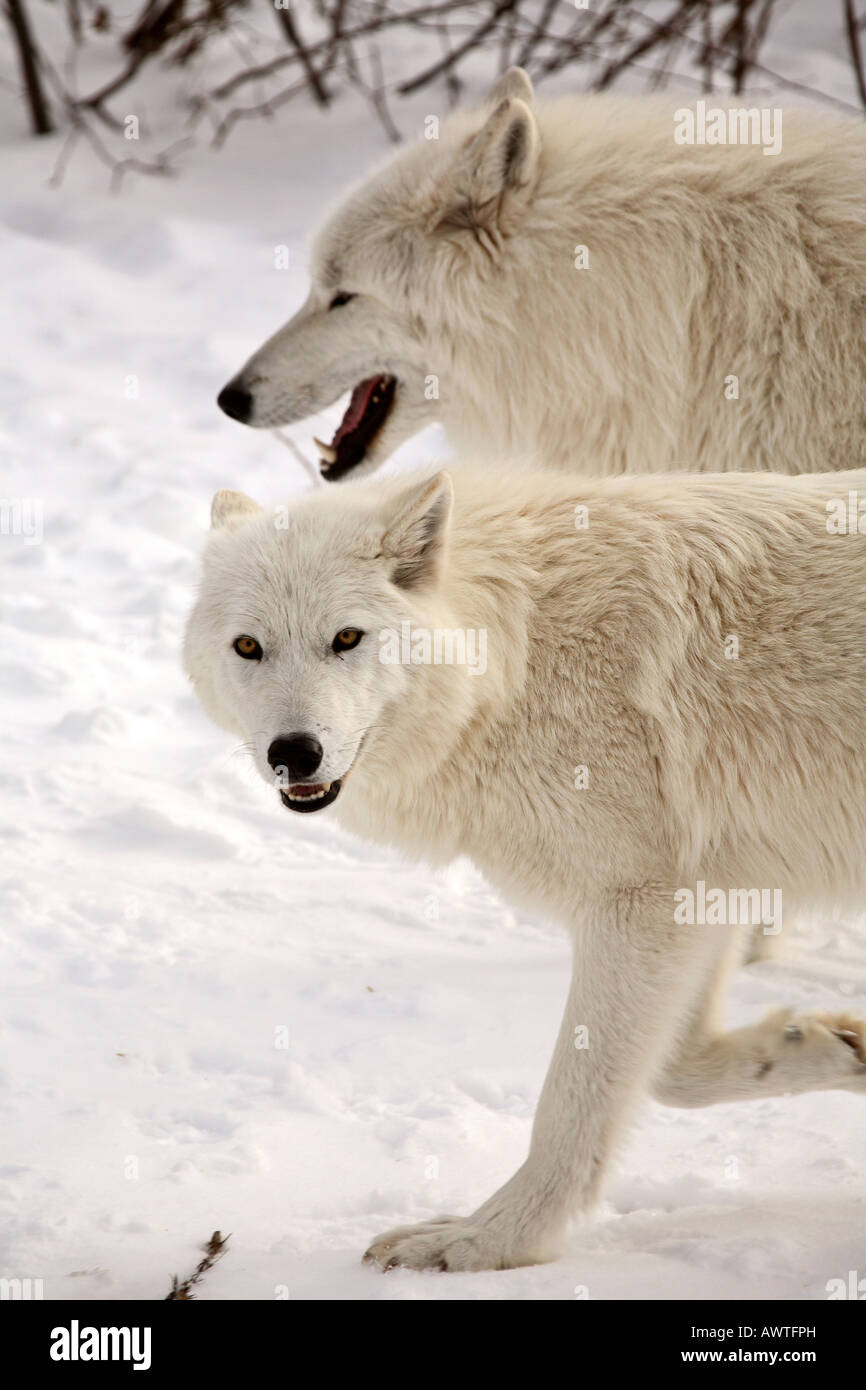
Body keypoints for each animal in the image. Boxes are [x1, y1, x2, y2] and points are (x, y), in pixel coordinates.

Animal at [184, 464, 866, 1271]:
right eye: (248, 646)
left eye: (346, 638)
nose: (294, 753)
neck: (520, 654)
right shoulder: (705, 893)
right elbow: (676, 1070)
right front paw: (837, 1047)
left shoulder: (640, 903)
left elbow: (573, 1105)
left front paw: (488, 1241)